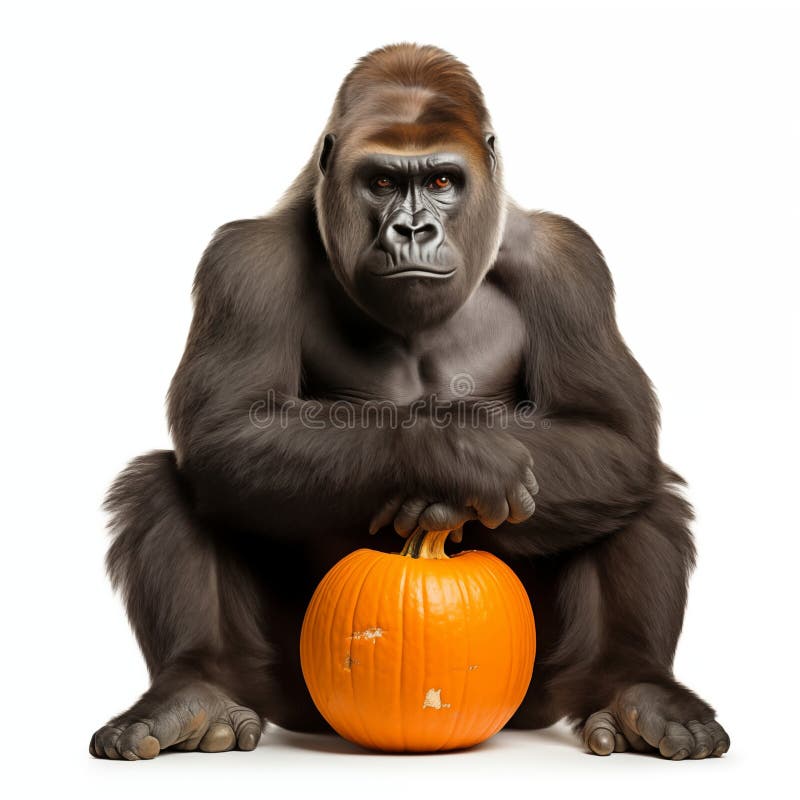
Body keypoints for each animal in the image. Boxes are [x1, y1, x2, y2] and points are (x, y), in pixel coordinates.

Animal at [90, 43, 730, 761]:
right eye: (381, 183)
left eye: (444, 181)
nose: (413, 228)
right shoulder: (245, 263)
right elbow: (228, 427)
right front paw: (449, 455)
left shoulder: (568, 263)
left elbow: (611, 432)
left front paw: (444, 490)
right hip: (288, 694)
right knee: (169, 477)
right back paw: (197, 690)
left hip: (537, 696)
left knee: (632, 489)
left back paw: (633, 688)